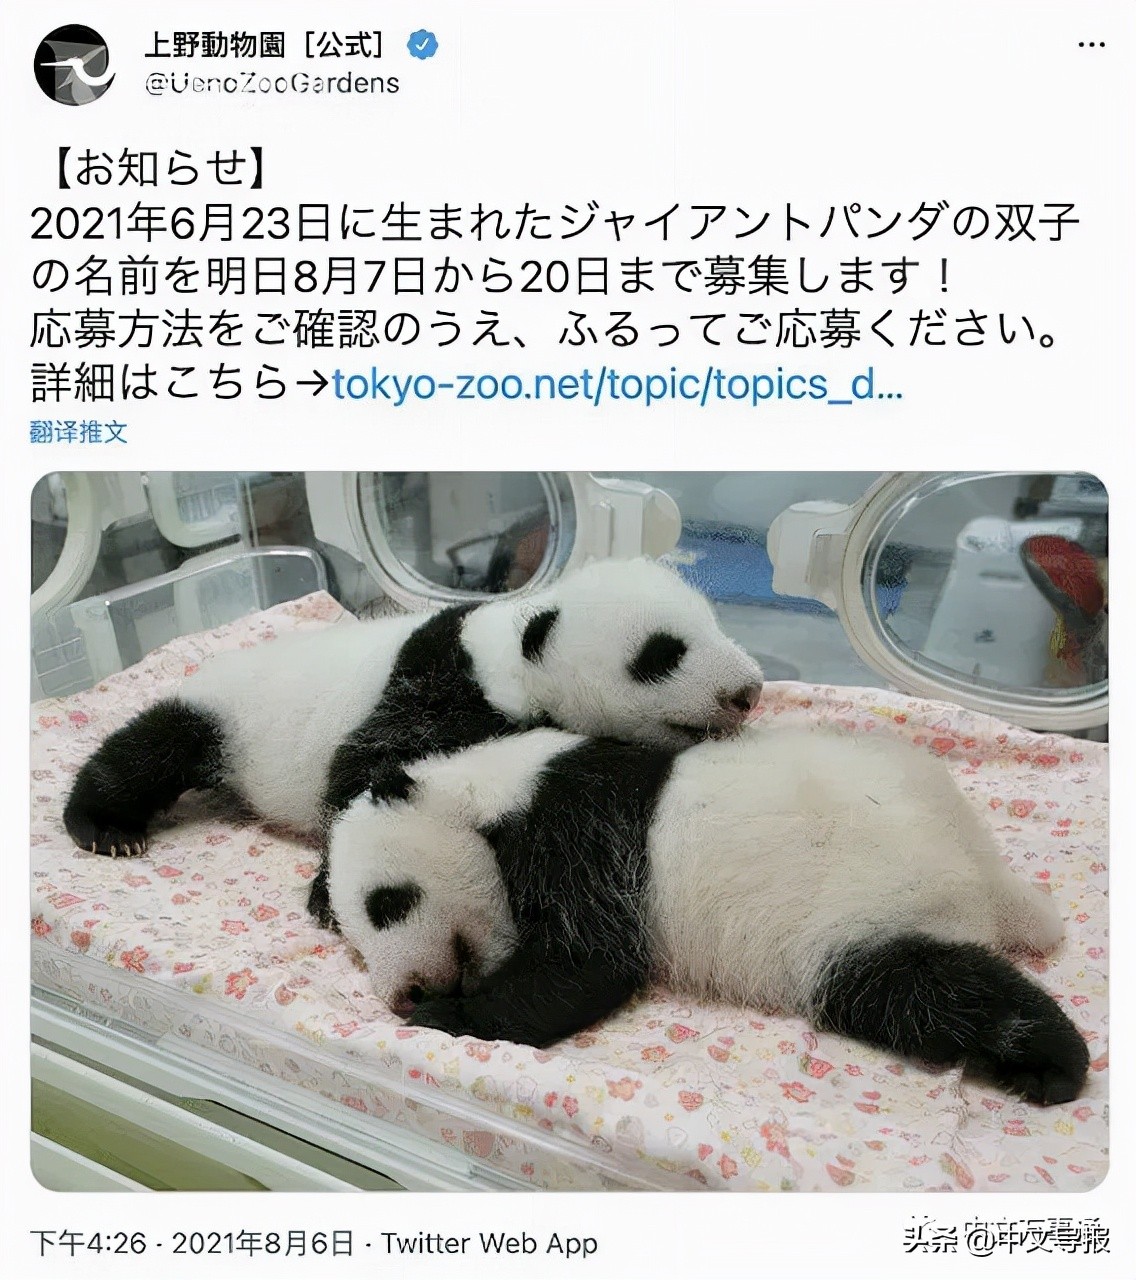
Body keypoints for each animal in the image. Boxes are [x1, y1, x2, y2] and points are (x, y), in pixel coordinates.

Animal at [62, 558, 765, 927]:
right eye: (662, 654)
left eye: (715, 625)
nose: (750, 690)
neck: (510, 652)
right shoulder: (440, 689)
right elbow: (362, 769)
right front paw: (329, 894)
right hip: (223, 713)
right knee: (149, 750)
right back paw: (105, 829)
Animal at [327, 725, 1090, 1106]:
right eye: (355, 944)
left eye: (387, 902)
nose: (404, 994)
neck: (478, 786)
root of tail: (988, 877)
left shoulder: (581, 825)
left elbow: (591, 959)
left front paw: (449, 1016)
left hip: (867, 905)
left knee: (928, 990)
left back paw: (1051, 1062)